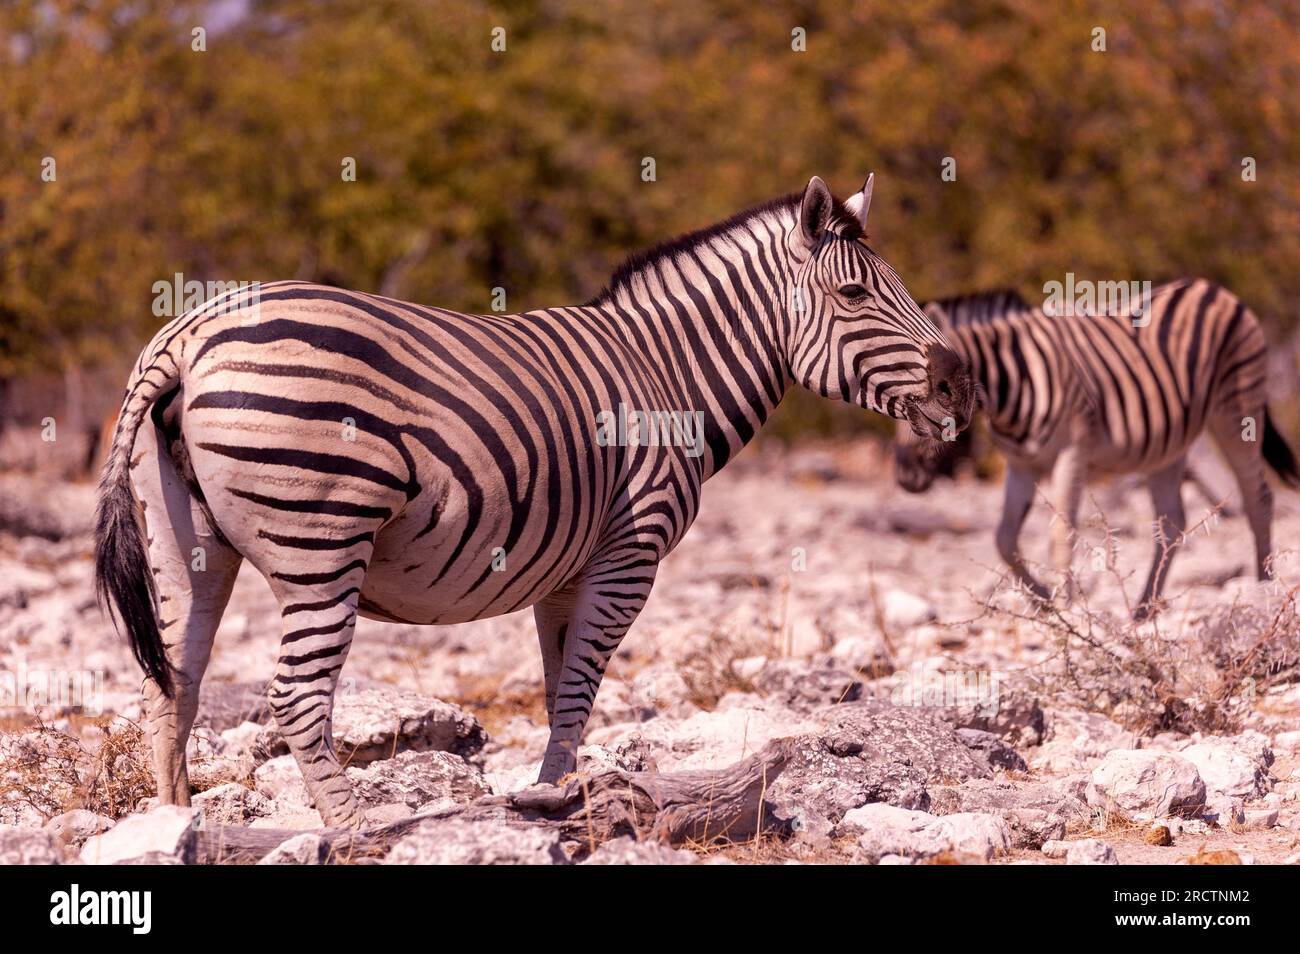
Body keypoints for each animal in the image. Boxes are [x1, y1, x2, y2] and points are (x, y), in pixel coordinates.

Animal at [95, 175, 973, 828]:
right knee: (298, 698)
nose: (957, 388)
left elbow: (560, 695)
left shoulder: (564, 572)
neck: (671, 377)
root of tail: (185, 338)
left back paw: (175, 825)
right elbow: (581, 691)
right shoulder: (630, 553)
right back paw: (355, 834)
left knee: (172, 686)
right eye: (856, 294)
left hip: (184, 542)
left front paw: (553, 798)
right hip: (323, 538)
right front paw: (561, 806)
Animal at [893, 280, 1299, 618]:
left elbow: (1061, 531)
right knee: (1172, 522)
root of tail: (1214, 288)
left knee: (1258, 497)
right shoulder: (1022, 464)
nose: (905, 478)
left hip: (1237, 408)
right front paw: (1043, 599)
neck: (1009, 386)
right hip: (1171, 442)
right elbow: (1004, 538)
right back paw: (1145, 607)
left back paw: (1263, 589)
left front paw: (1067, 605)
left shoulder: (1072, 450)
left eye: (940, 390)